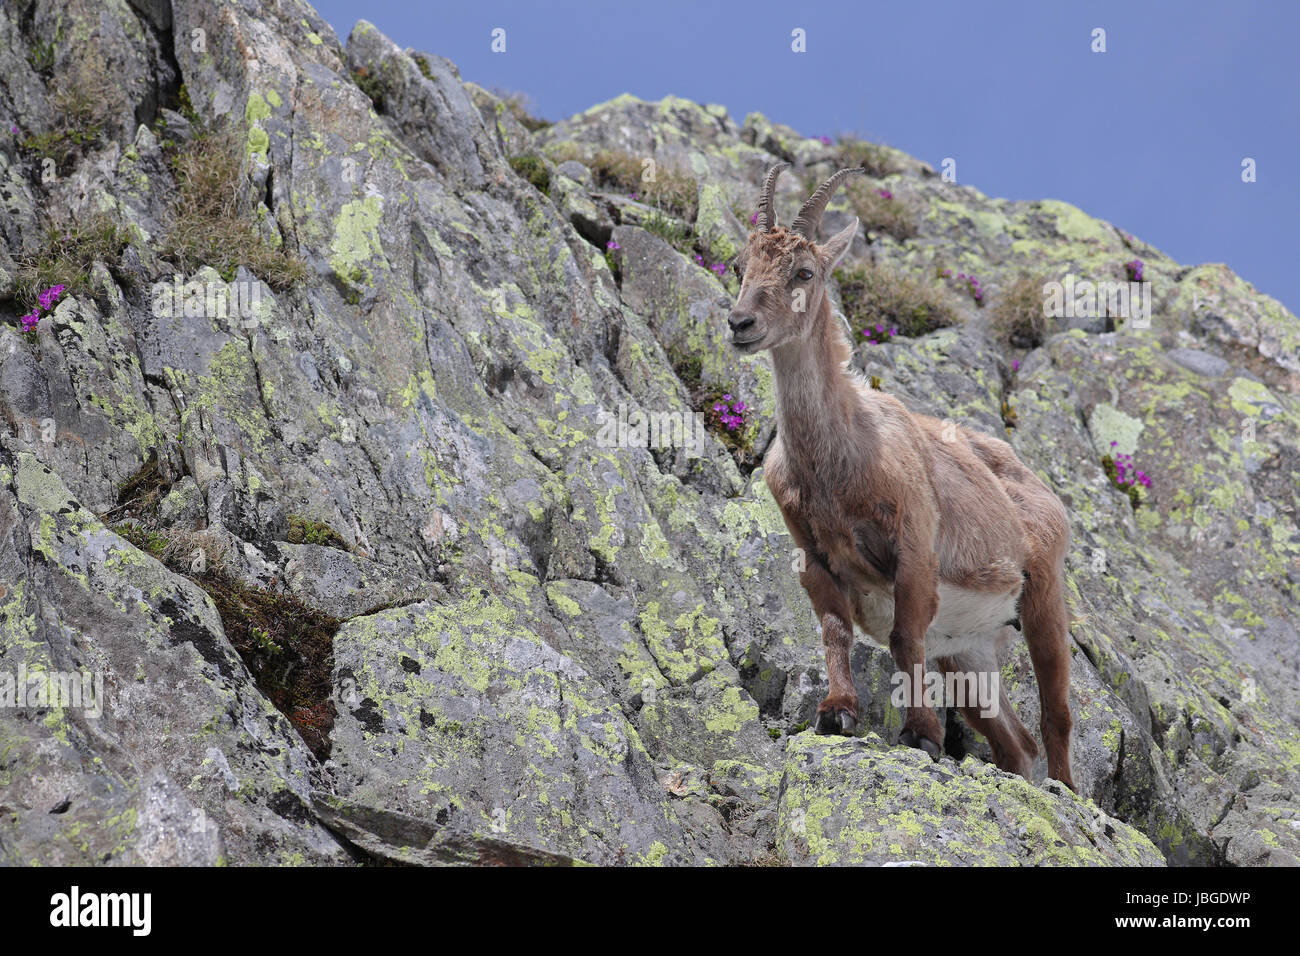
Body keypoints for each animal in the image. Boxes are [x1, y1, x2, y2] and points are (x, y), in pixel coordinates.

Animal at [727, 164, 1075, 790]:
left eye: (804, 271)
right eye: (741, 266)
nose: (740, 323)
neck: (838, 459)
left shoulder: (914, 548)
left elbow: (902, 636)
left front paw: (922, 734)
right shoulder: (813, 556)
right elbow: (835, 628)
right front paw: (837, 711)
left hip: (1042, 591)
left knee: (1055, 713)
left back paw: (1066, 790)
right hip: (968, 651)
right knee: (1015, 742)